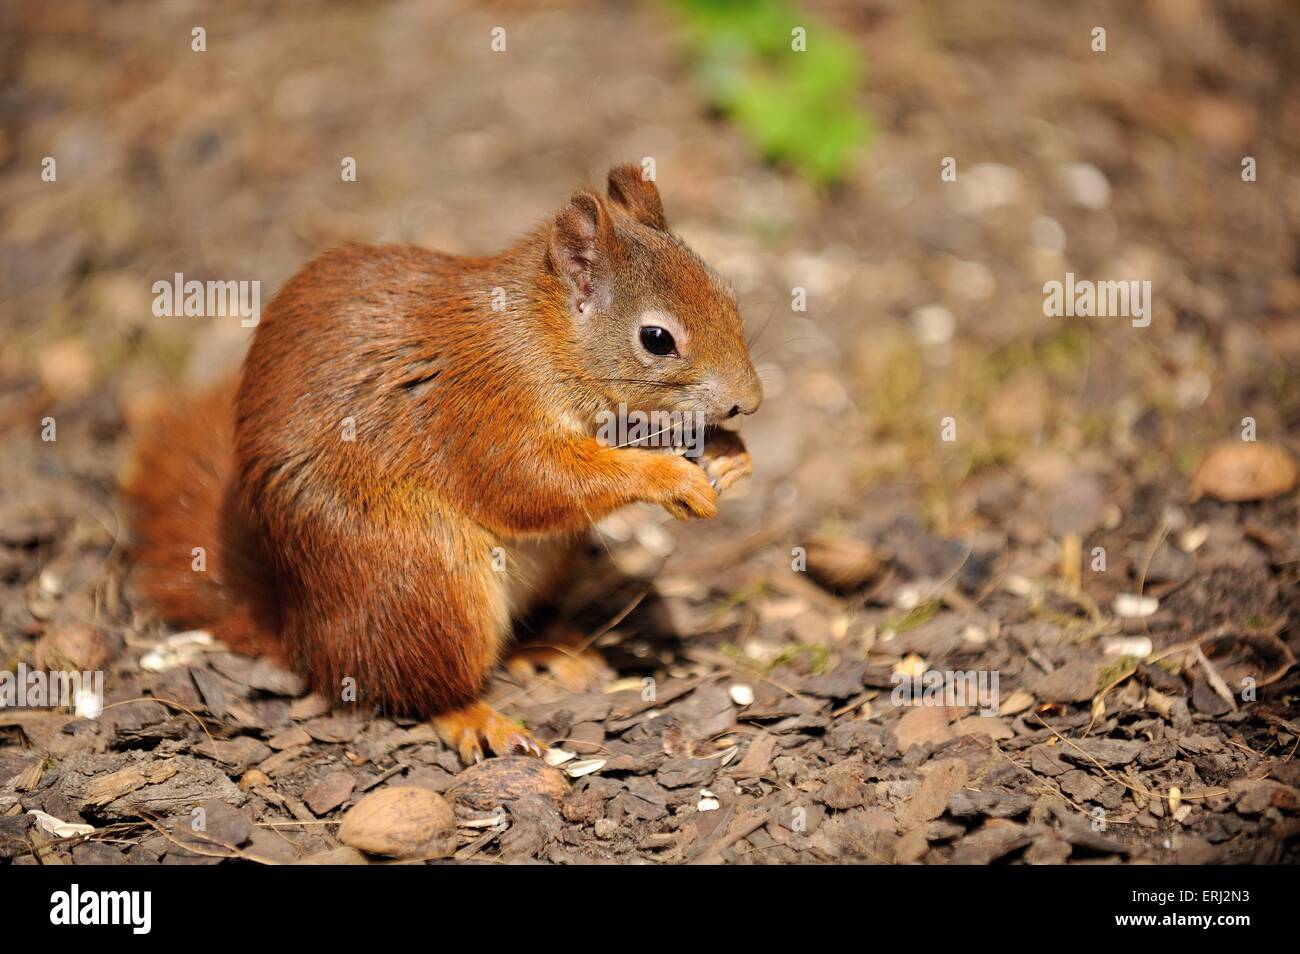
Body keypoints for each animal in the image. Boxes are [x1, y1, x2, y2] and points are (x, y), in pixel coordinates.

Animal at [123, 164, 762, 762]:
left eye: (728, 295)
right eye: (656, 339)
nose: (749, 402)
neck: (545, 337)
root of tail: (301, 631)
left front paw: (731, 455)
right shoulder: (484, 409)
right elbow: (534, 483)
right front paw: (670, 477)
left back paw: (548, 650)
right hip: (426, 571)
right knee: (416, 686)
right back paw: (475, 718)